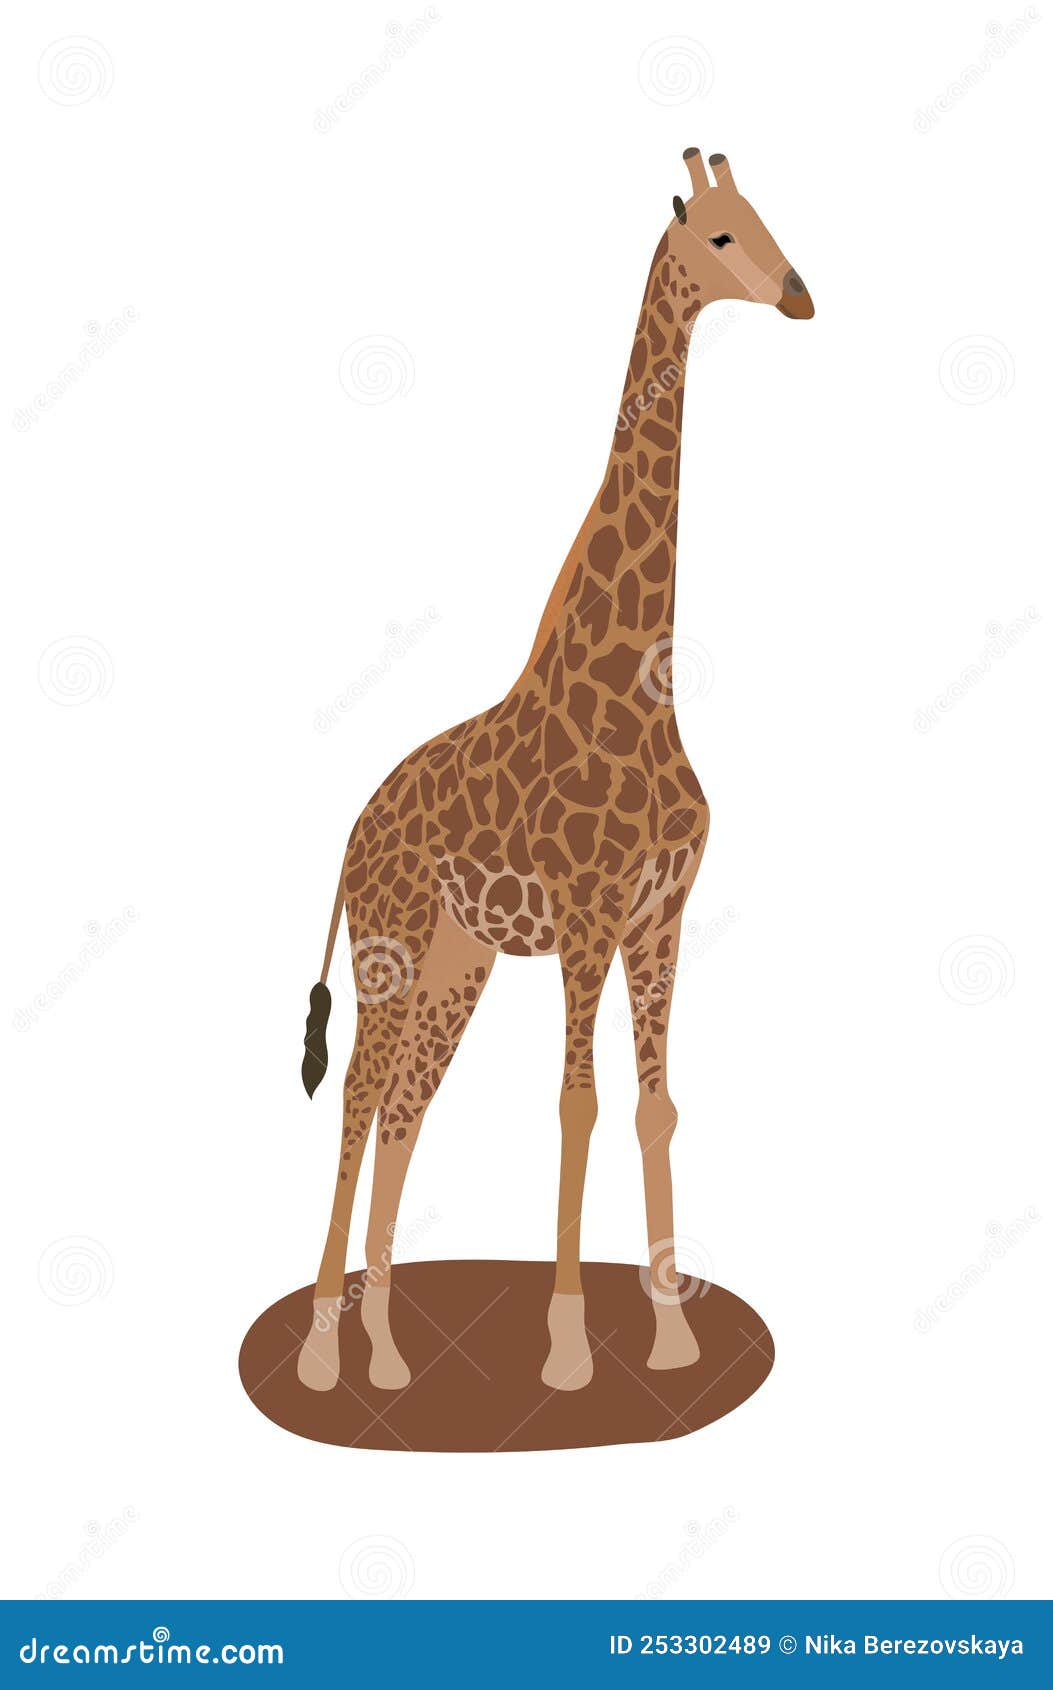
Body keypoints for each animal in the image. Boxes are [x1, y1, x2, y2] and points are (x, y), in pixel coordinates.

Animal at [296, 148, 813, 1395]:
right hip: (391, 949)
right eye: (717, 236)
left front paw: (672, 1332)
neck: (638, 685)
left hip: (457, 959)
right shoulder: (586, 918)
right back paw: (323, 1353)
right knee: (356, 1102)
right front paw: (572, 1348)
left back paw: (390, 1353)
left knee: (403, 1110)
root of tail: (352, 830)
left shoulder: (659, 914)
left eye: (763, 217)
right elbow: (577, 1105)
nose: (799, 297)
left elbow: (654, 1107)